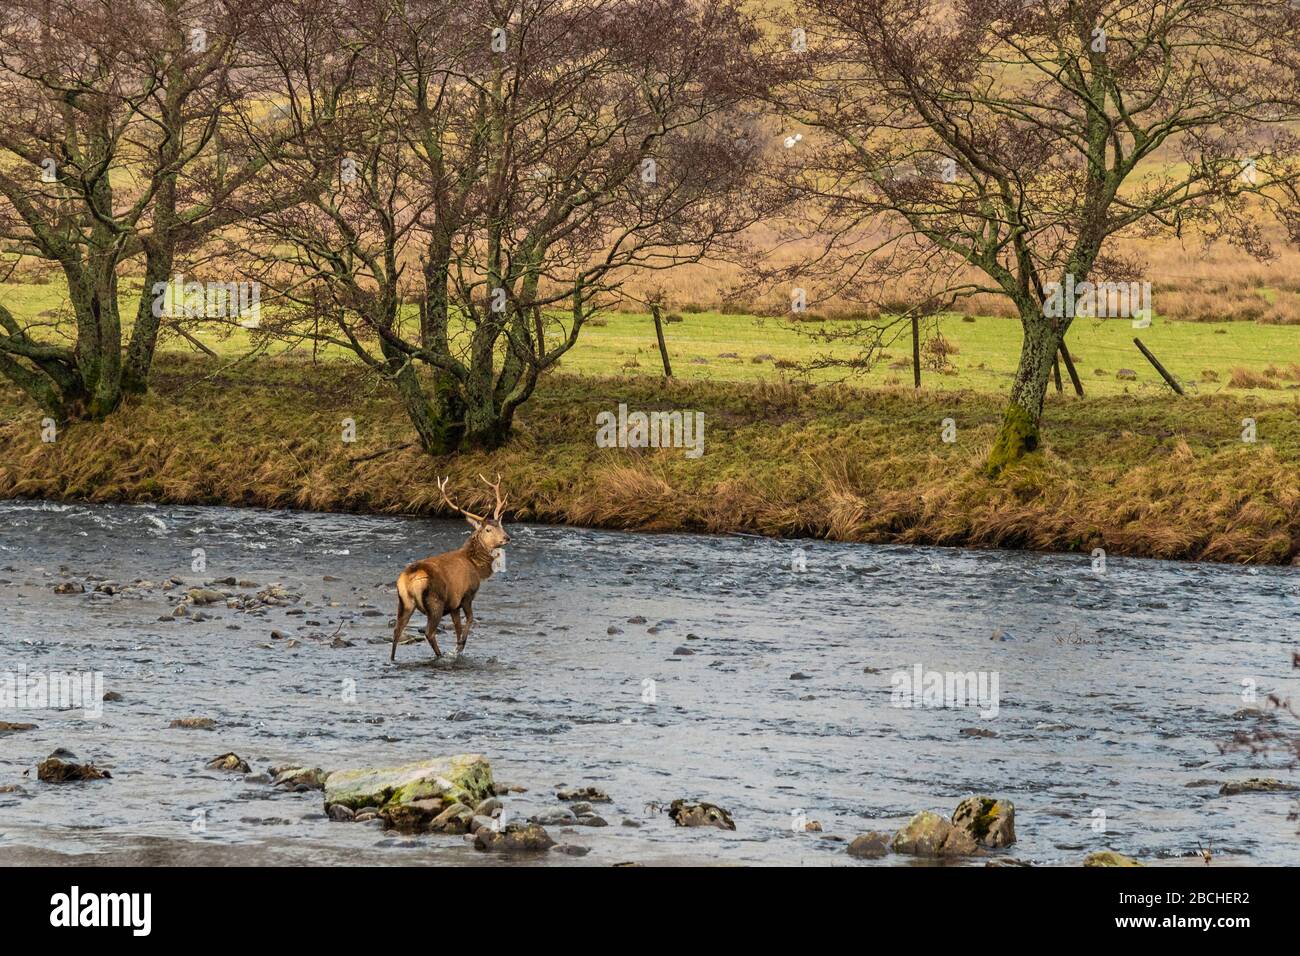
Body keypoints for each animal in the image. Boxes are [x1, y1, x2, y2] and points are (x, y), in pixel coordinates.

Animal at [390, 474, 510, 662]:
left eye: (501, 525)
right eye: (488, 529)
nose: (507, 538)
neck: (476, 566)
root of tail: (410, 577)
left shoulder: (453, 605)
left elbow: (457, 628)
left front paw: (459, 648)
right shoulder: (466, 595)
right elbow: (470, 620)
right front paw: (460, 646)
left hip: (404, 602)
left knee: (397, 630)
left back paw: (393, 659)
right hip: (435, 602)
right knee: (429, 632)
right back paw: (439, 655)